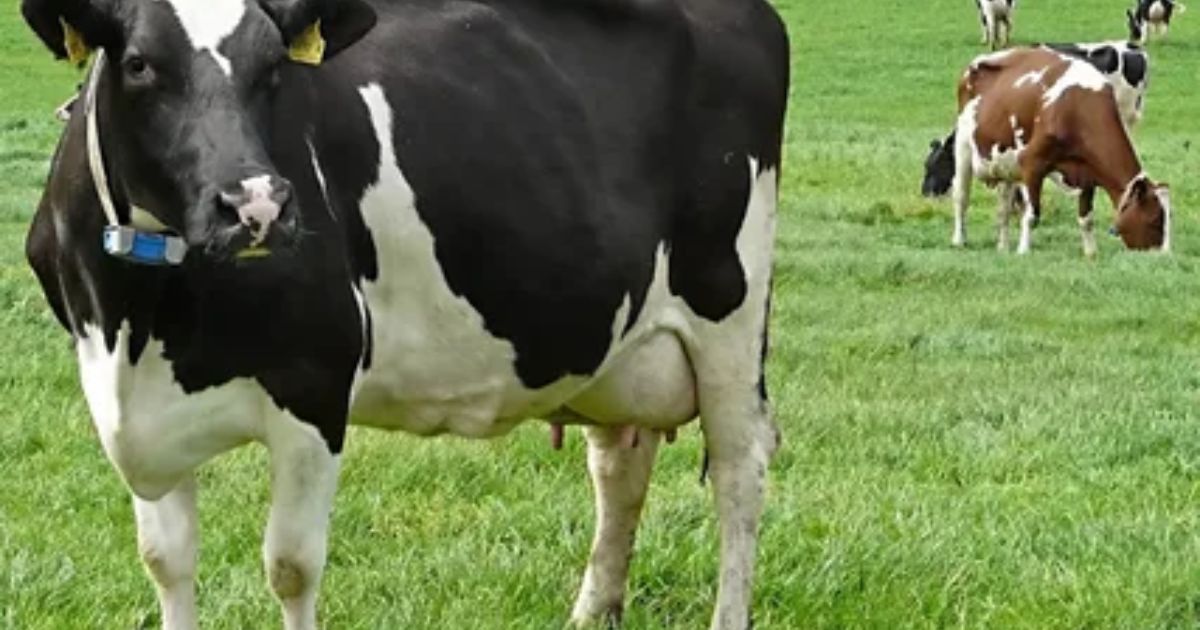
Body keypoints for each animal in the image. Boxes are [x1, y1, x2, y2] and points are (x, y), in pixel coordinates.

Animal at [19, 0, 789, 628]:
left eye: (274, 67)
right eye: (140, 65)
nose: (257, 206)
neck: (141, 321)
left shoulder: (315, 387)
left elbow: (290, 567)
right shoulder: (134, 415)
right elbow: (165, 561)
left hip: (730, 311)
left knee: (739, 469)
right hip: (615, 344)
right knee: (619, 465)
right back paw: (592, 613)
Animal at [950, 48, 1169, 255]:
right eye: (1155, 220)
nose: (1165, 256)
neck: (1079, 108)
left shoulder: (1088, 171)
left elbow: (1086, 218)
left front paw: (1091, 253)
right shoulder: (1031, 163)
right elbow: (1032, 216)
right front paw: (1023, 251)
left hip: (1005, 161)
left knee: (1004, 205)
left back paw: (1002, 247)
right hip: (963, 146)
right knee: (961, 196)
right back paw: (959, 240)